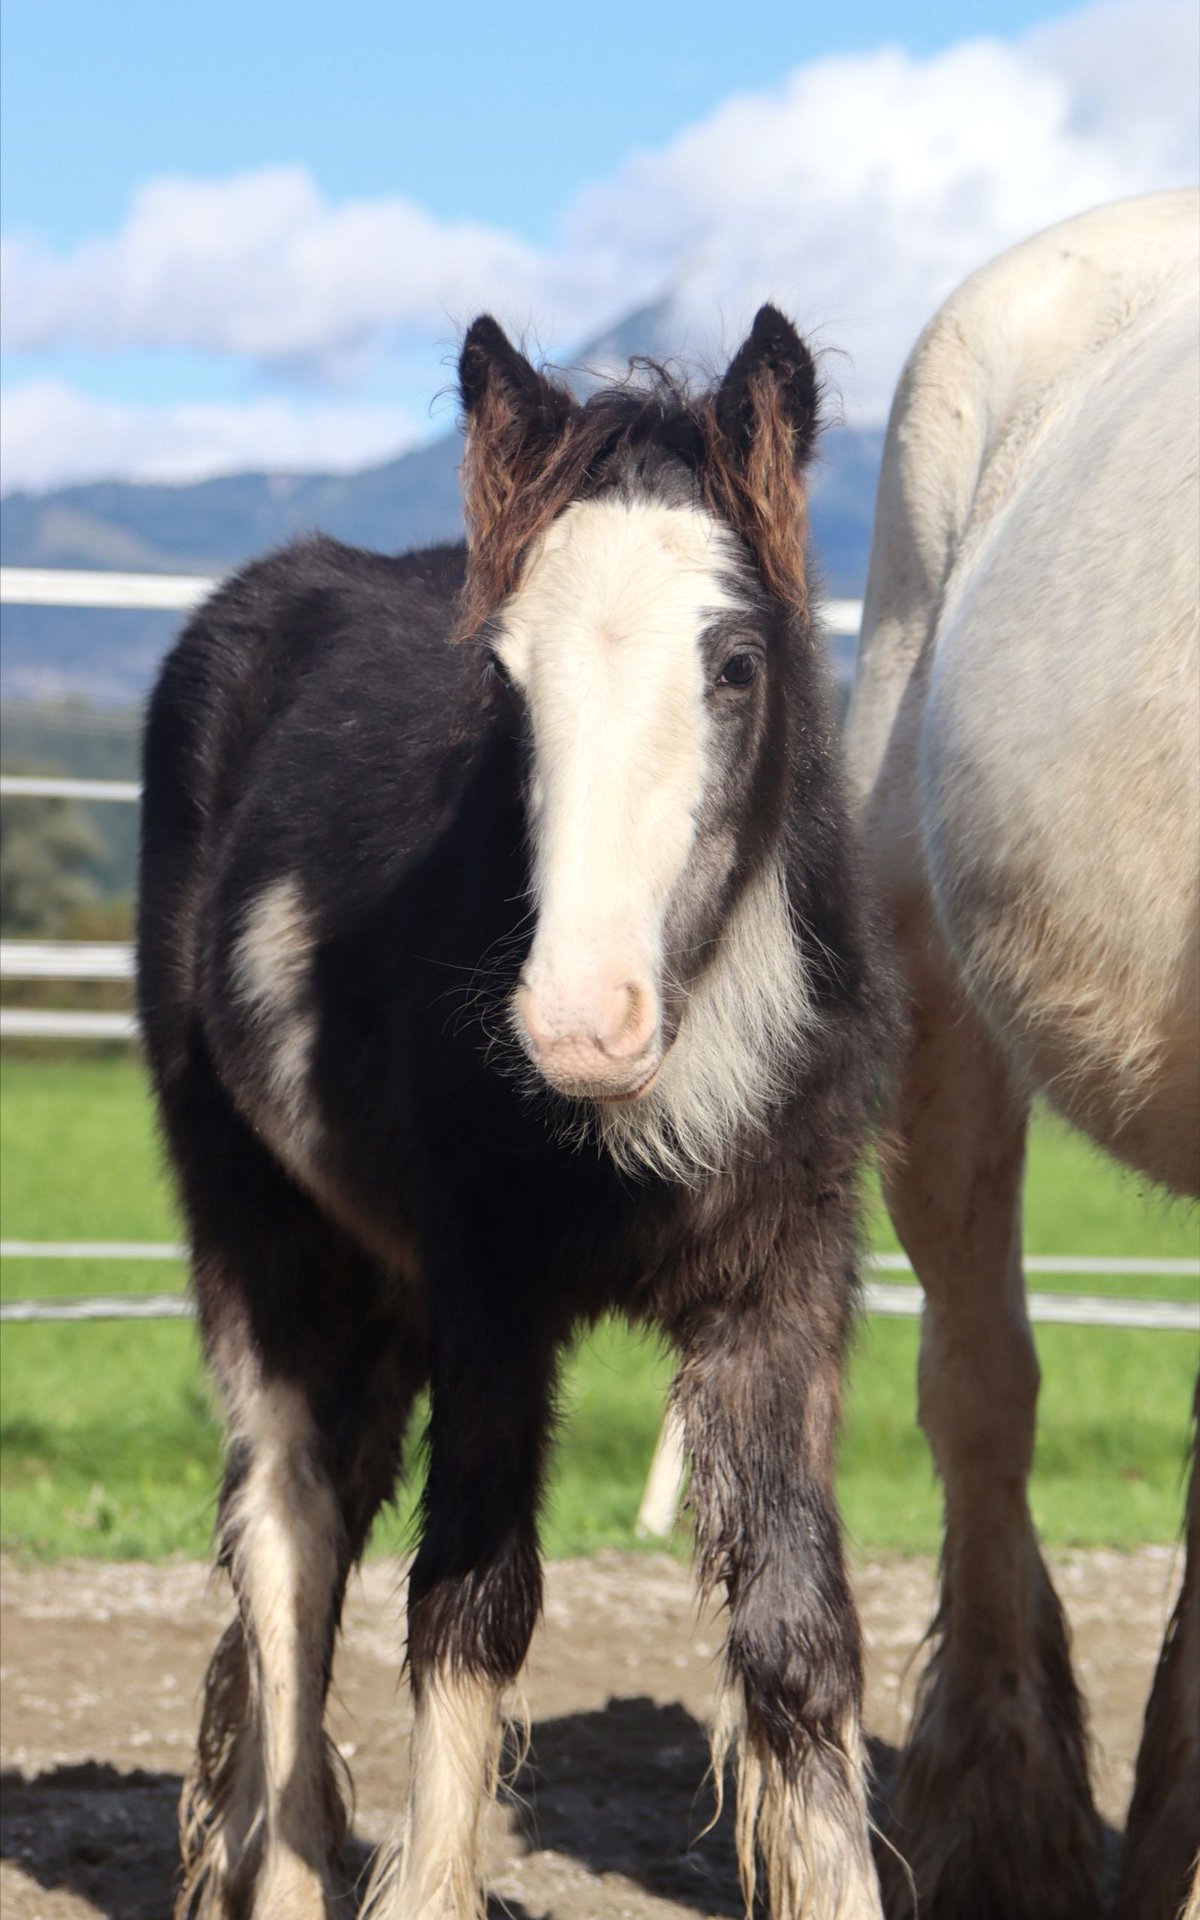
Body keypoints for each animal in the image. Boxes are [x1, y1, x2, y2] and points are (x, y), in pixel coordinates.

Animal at [137, 305, 896, 1920]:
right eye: (506, 681)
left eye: (737, 664)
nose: (579, 1026)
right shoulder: (491, 1287)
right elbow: (468, 1613)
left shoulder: (783, 1290)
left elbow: (799, 1641)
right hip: (261, 1232)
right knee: (289, 1543)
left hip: (382, 1285)